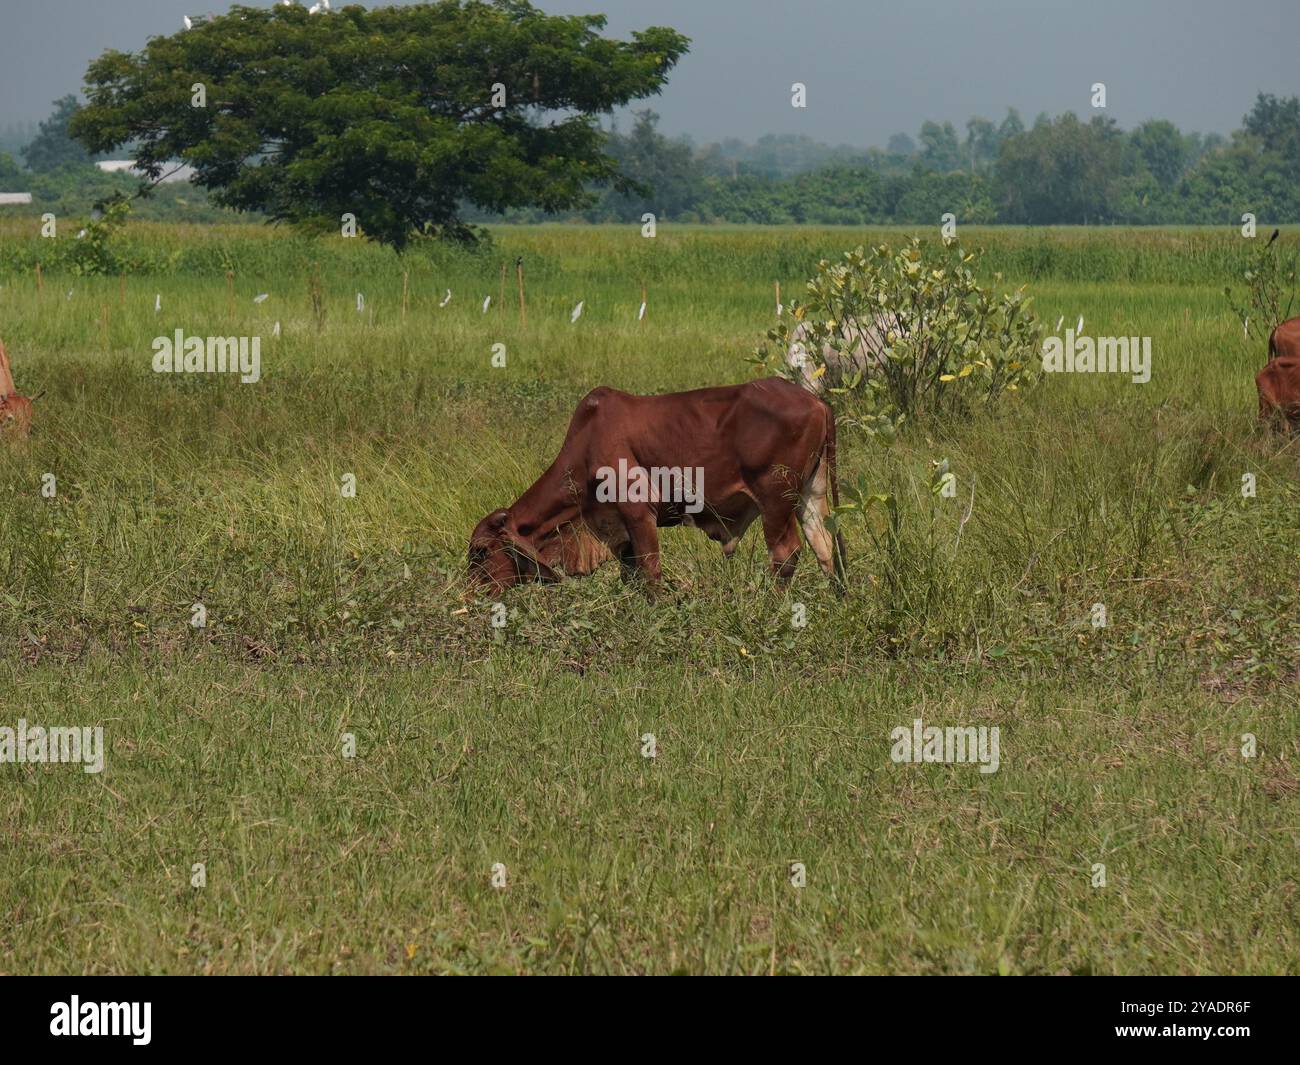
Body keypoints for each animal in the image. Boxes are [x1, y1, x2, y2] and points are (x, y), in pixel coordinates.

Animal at [468, 377, 846, 593]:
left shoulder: (638, 513)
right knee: (824, 546)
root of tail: (817, 402)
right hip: (810, 493)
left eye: (481, 552)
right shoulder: (618, 530)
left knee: (786, 554)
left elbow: (650, 574)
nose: (472, 593)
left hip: (776, 498)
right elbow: (631, 576)